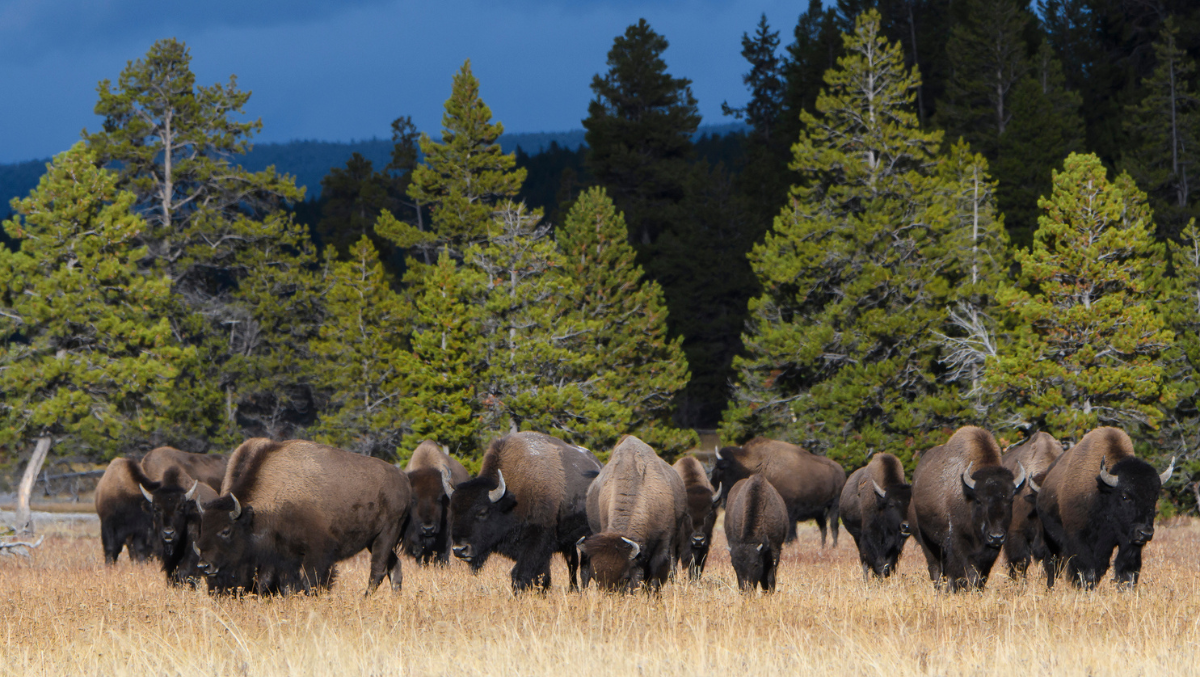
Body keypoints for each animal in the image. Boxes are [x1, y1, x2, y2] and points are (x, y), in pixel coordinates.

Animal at [193, 438, 412, 596]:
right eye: (203, 530)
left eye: (226, 530)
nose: (204, 565)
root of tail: (403, 479)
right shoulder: (284, 556)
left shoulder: (317, 553)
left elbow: (310, 581)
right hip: (372, 540)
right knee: (394, 566)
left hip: (386, 534)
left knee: (378, 569)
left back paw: (365, 598)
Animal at [447, 432, 601, 592]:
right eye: (453, 511)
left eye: (482, 512)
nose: (460, 549)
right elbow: (543, 574)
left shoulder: (537, 541)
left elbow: (523, 572)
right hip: (570, 542)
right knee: (572, 563)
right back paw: (573, 590)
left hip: (587, 536)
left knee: (583, 567)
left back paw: (582, 591)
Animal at [710, 438, 846, 546]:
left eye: (718, 466)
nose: (712, 482)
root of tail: (840, 470)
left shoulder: (789, 511)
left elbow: (790, 531)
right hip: (820, 512)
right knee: (823, 528)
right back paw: (823, 546)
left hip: (834, 505)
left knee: (833, 526)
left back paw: (833, 546)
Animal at [909, 427, 1026, 591]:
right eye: (979, 501)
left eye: (1010, 500)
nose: (996, 537)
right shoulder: (959, 544)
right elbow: (967, 572)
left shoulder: (990, 552)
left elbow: (981, 575)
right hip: (926, 539)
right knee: (935, 568)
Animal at [1037, 427, 1174, 590]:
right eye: (1125, 496)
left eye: (1155, 497)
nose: (1145, 533)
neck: (1103, 493)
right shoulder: (1077, 537)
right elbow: (1086, 569)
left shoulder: (1127, 543)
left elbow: (1126, 570)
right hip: (1049, 538)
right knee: (1052, 565)